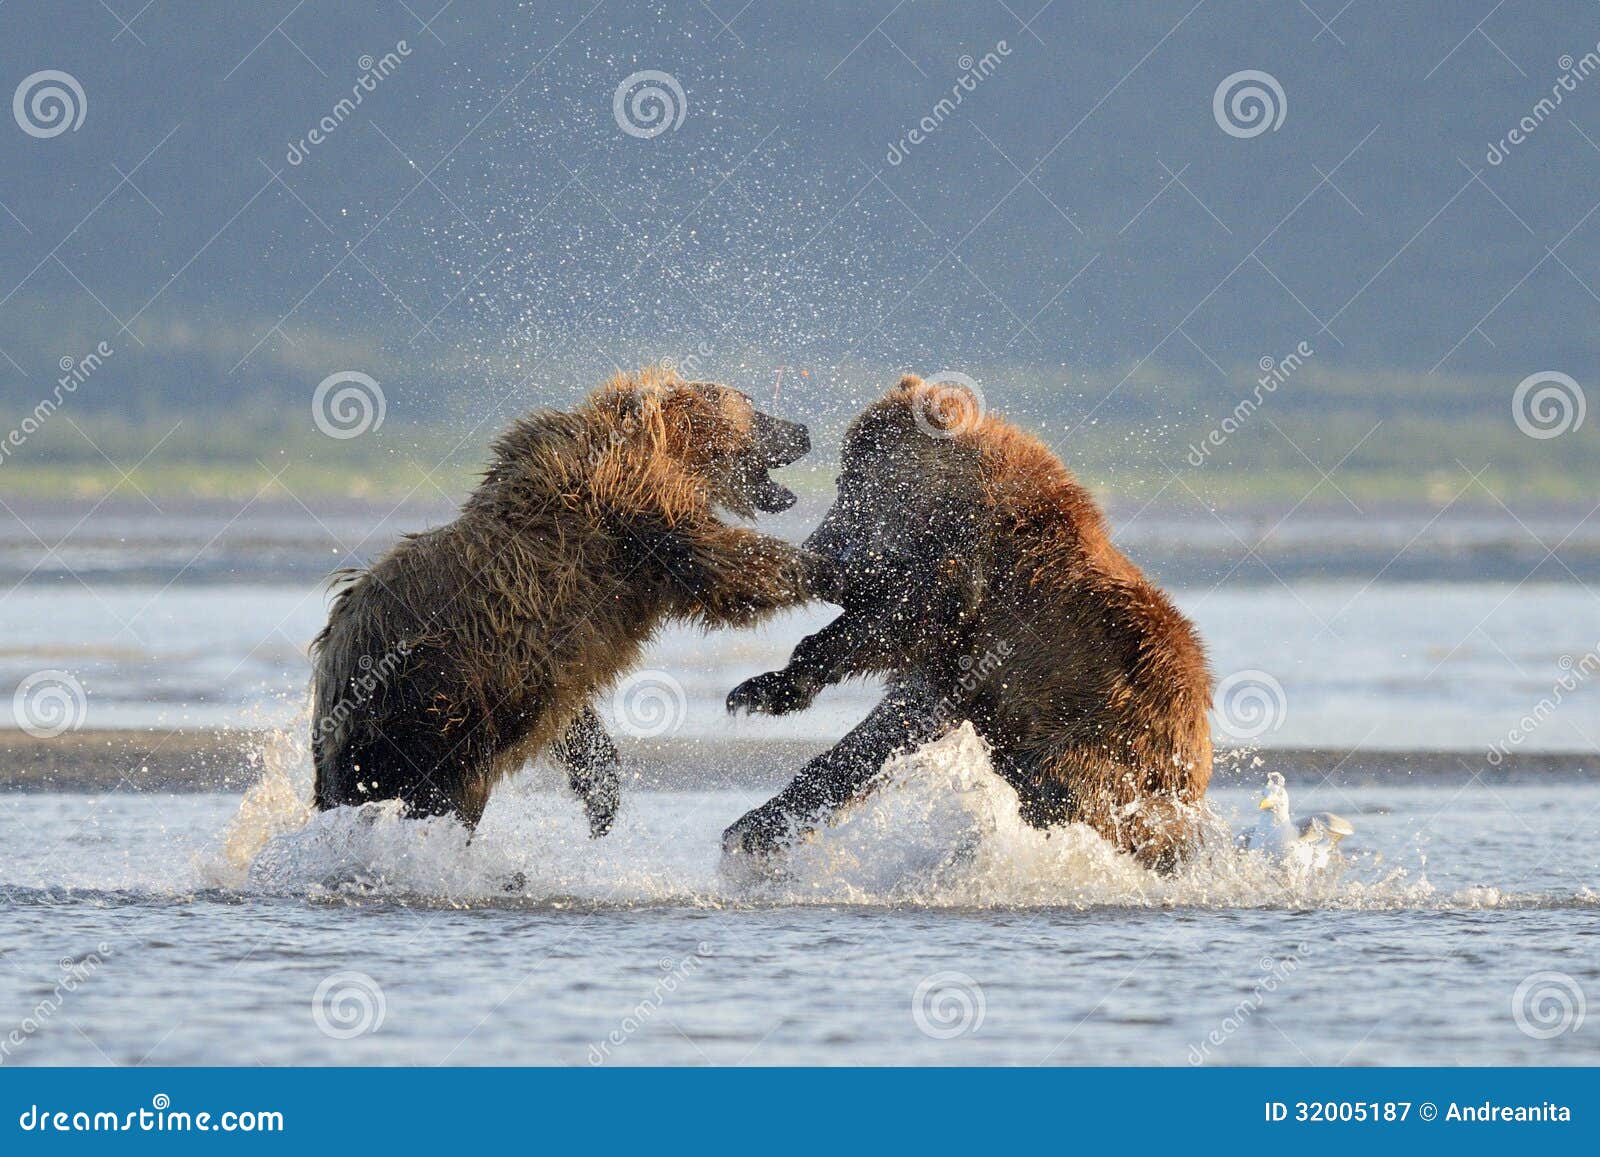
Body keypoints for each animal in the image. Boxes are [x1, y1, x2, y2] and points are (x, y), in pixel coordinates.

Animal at [310, 368, 836, 834]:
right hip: (431, 698)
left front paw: (601, 794)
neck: (662, 451)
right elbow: (717, 561)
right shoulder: (630, 509)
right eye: (751, 405)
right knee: (441, 792)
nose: (802, 431)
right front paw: (824, 564)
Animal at [722, 375, 1214, 871]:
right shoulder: (953, 666)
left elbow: (892, 622)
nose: (820, 547)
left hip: (1101, 737)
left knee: (1059, 797)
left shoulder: (975, 580)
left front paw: (759, 691)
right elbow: (886, 728)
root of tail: (1198, 750)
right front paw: (754, 827)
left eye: (853, 483)